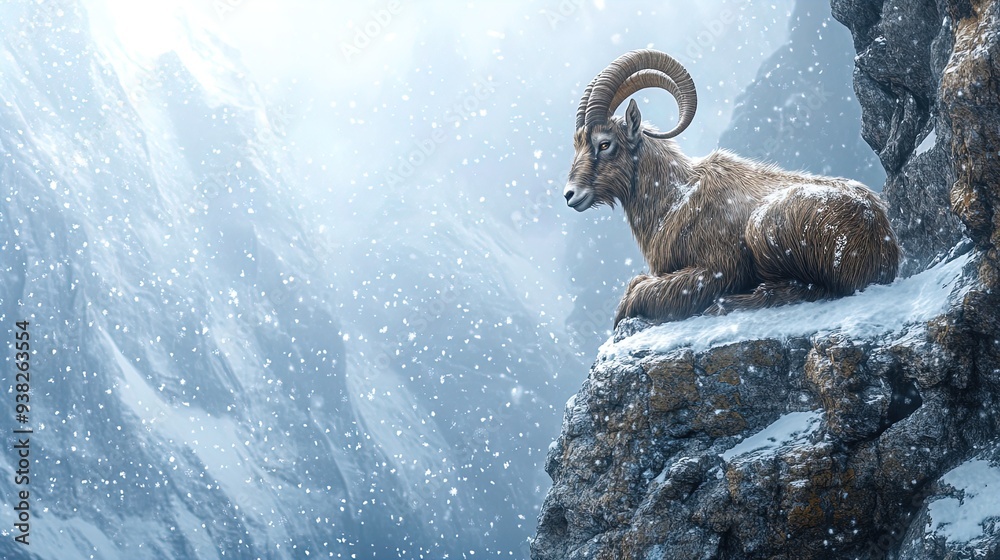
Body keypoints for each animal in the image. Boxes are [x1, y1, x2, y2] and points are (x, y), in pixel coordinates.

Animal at [563, 49, 900, 327]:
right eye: (577, 144)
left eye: (604, 143)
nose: (570, 195)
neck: (676, 198)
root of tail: (881, 242)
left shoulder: (717, 270)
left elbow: (642, 290)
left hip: (765, 227)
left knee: (808, 290)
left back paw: (726, 304)